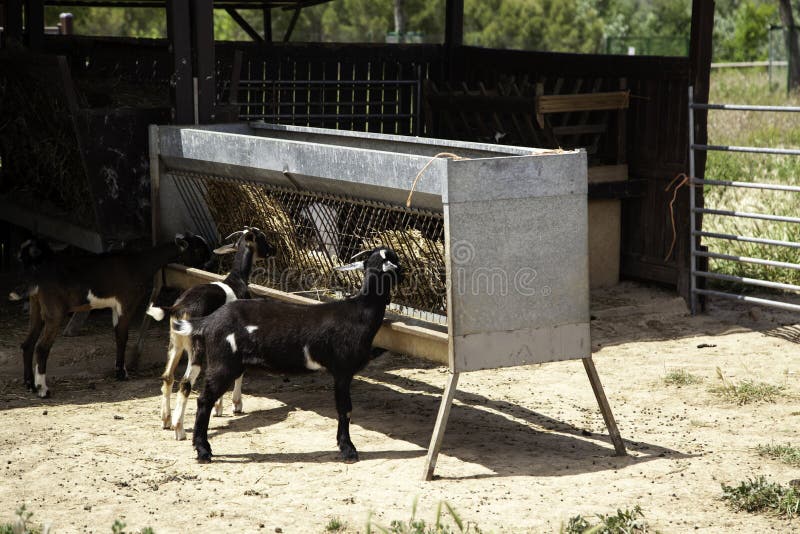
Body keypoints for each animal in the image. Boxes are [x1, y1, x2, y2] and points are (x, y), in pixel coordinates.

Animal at [10, 233, 211, 397]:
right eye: (198, 249)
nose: (209, 261)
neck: (140, 263)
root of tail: (38, 275)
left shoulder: (116, 306)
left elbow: (119, 337)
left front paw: (119, 371)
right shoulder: (126, 303)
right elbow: (123, 336)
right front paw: (122, 373)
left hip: (37, 306)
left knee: (28, 344)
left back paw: (29, 384)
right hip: (55, 311)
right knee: (42, 348)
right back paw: (43, 390)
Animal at [146, 227, 275, 434]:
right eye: (262, 238)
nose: (274, 249)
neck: (236, 280)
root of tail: (177, 308)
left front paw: (218, 407)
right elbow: (239, 372)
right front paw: (236, 404)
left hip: (175, 343)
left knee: (167, 377)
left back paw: (165, 420)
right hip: (195, 348)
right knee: (185, 383)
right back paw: (179, 428)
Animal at [171, 247, 402, 463]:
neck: (361, 310)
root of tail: (208, 321)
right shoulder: (343, 369)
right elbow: (345, 409)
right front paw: (348, 449)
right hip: (222, 363)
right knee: (204, 401)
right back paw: (203, 451)